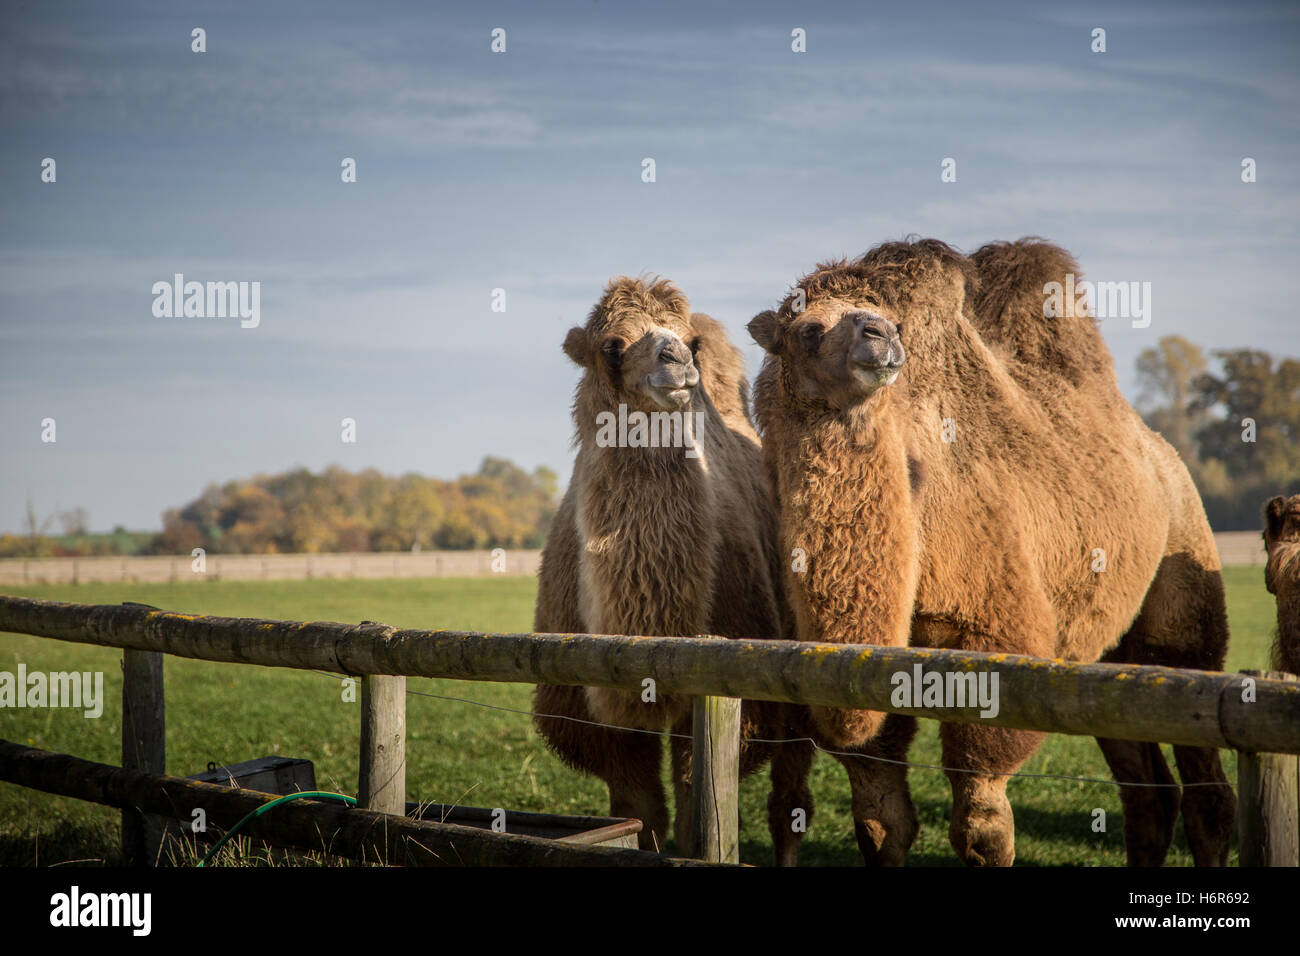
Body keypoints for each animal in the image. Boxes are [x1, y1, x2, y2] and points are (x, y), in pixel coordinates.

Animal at [531, 276, 812, 862]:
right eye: (611, 345)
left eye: (691, 342)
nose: (678, 359)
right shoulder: (599, 718)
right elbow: (638, 813)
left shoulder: (718, 700)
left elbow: (692, 811)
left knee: (791, 796)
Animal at [747, 237, 1235, 867]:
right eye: (808, 329)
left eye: (892, 320)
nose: (880, 337)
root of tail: (1166, 457)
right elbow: (881, 824)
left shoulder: (996, 630)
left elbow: (982, 826)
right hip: (1105, 654)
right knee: (1147, 786)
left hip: (1185, 573)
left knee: (1203, 771)